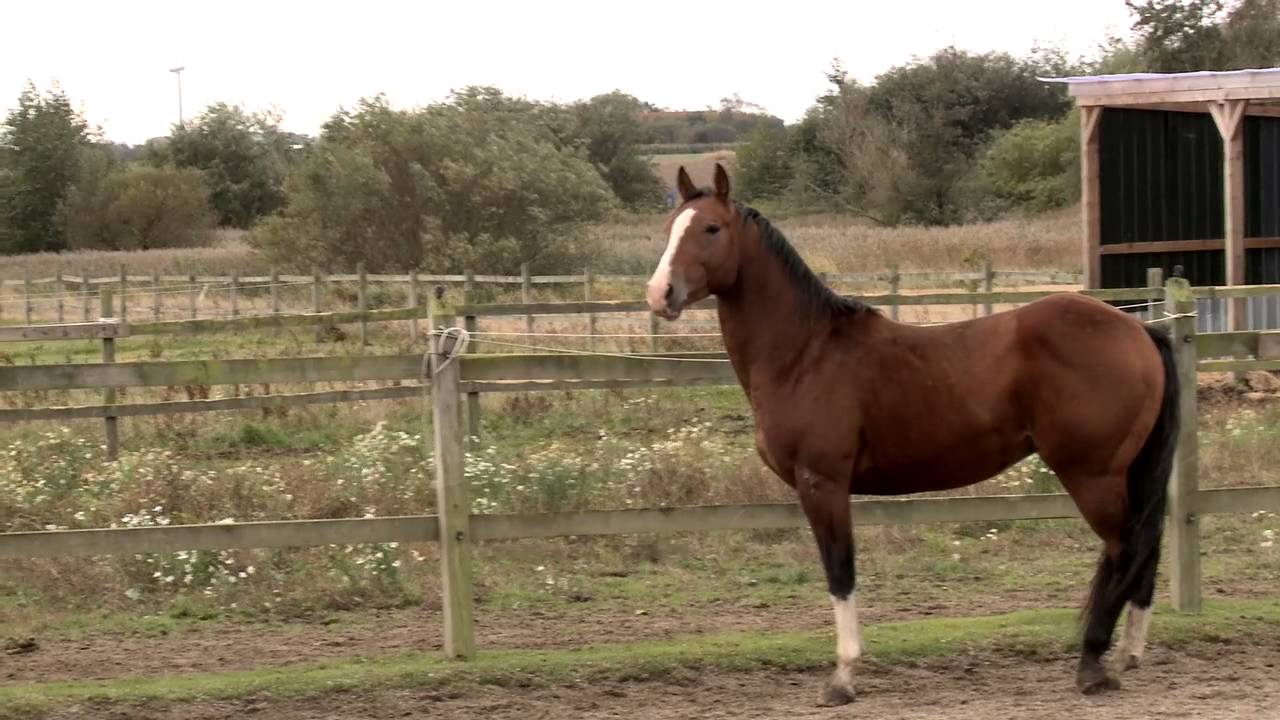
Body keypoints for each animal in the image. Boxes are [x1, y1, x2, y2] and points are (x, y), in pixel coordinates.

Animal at [644, 163, 1179, 706]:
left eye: (711, 228)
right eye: (669, 227)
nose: (659, 294)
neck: (805, 353)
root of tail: (1140, 330)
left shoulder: (823, 484)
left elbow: (839, 571)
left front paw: (843, 676)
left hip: (1092, 476)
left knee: (1125, 550)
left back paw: (1093, 665)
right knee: (1145, 549)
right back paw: (1126, 655)